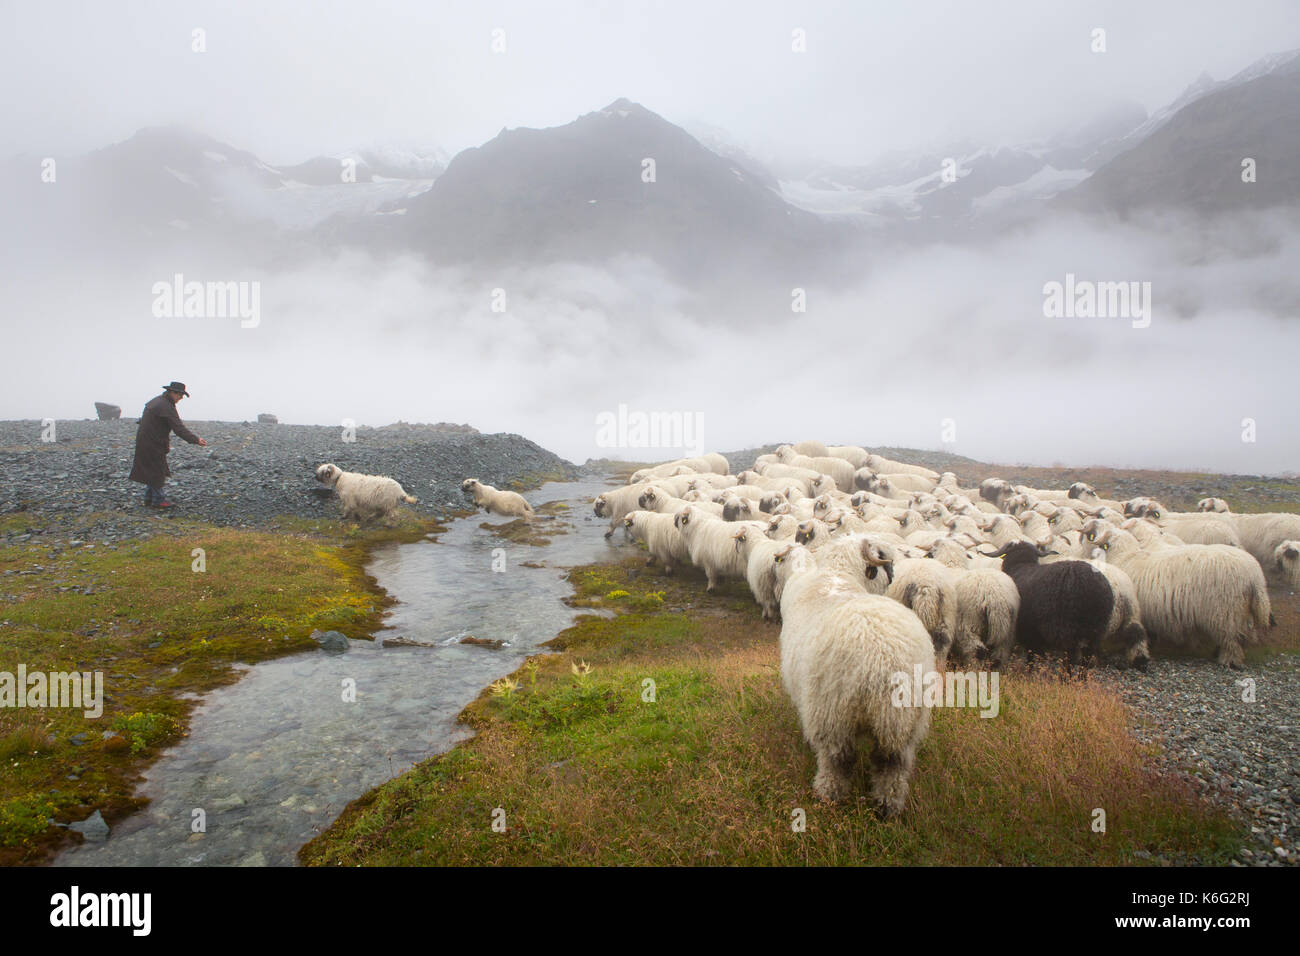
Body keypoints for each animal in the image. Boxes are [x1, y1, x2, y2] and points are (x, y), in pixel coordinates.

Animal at [769, 543, 934, 814]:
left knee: (838, 760)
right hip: (906, 721)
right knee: (893, 764)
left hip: (832, 713)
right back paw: (888, 807)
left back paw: (827, 795)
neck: (838, 576)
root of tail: (884, 660)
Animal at [980, 541, 1114, 669]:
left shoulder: (1030, 631)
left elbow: (1032, 656)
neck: (1021, 566)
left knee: (1070, 658)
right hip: (1096, 631)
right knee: (1086, 658)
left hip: (1067, 629)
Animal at [1081, 526, 1270, 669]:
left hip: (1226, 611)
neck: (1126, 557)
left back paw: (1227, 661)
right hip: (1241, 613)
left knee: (1231, 640)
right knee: (1239, 637)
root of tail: (1255, 577)